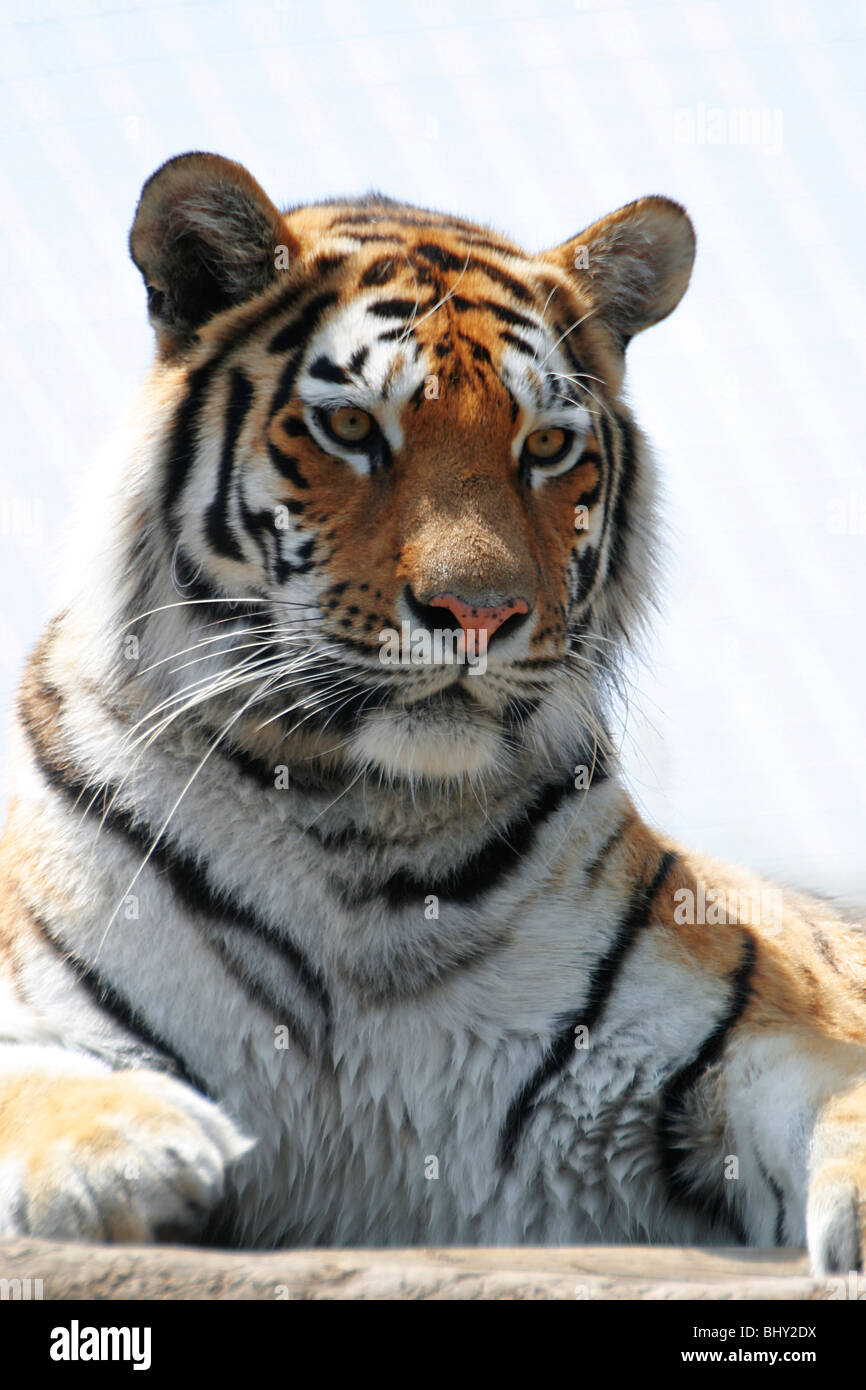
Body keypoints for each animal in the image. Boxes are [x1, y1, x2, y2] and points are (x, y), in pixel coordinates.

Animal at [0, 150, 864, 1276]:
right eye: (351, 427)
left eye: (547, 445)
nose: (479, 613)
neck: (359, 827)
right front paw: (130, 1152)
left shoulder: (743, 1027)